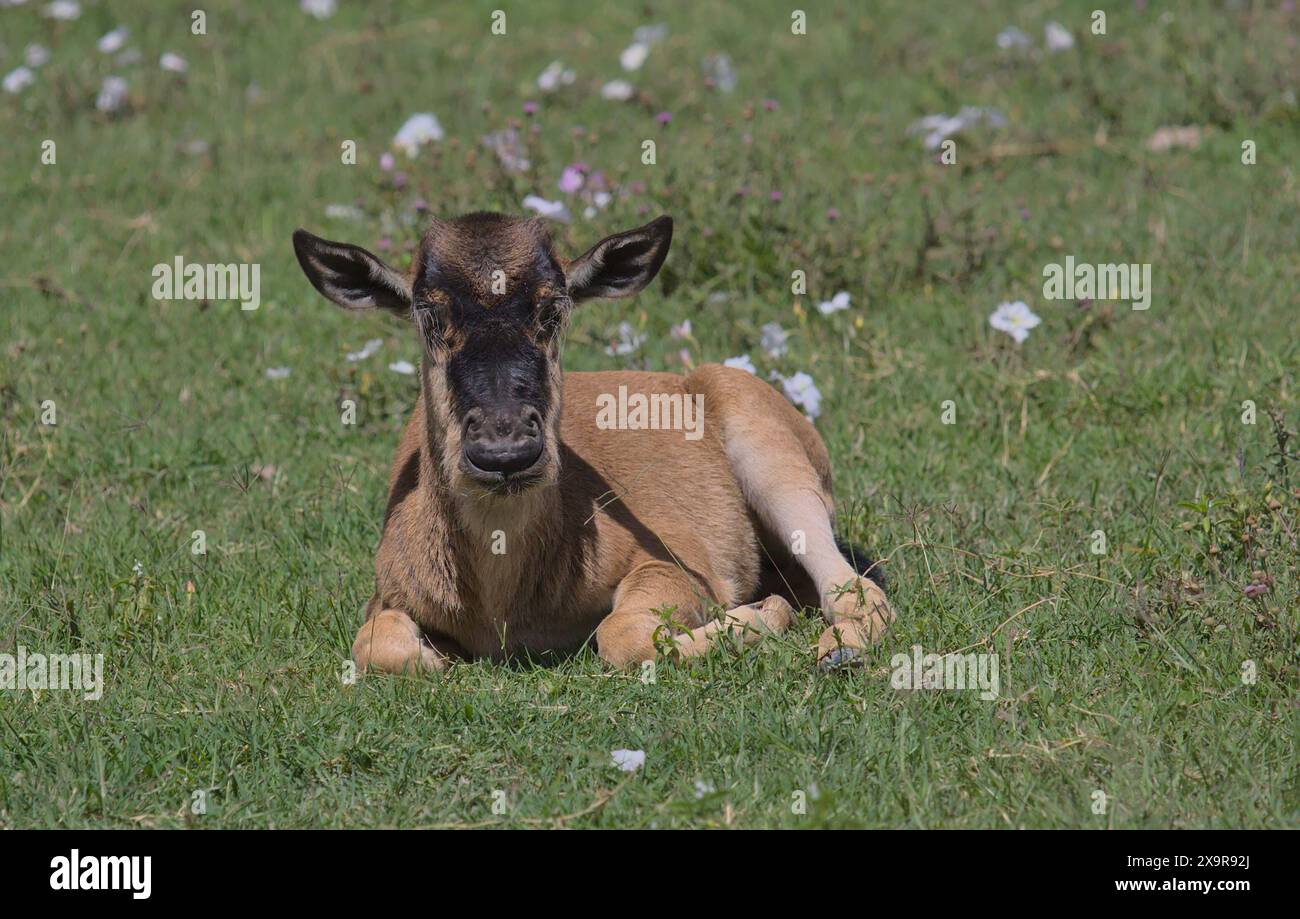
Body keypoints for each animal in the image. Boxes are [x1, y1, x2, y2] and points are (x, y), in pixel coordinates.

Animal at [291, 213, 894, 674]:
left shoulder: (678, 567)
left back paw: (837, 652)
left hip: (777, 472)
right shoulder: (387, 597)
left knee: (854, 588)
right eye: (428, 310)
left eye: (553, 307)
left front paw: (760, 617)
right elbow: (377, 643)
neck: (500, 598)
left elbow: (621, 635)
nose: (505, 450)